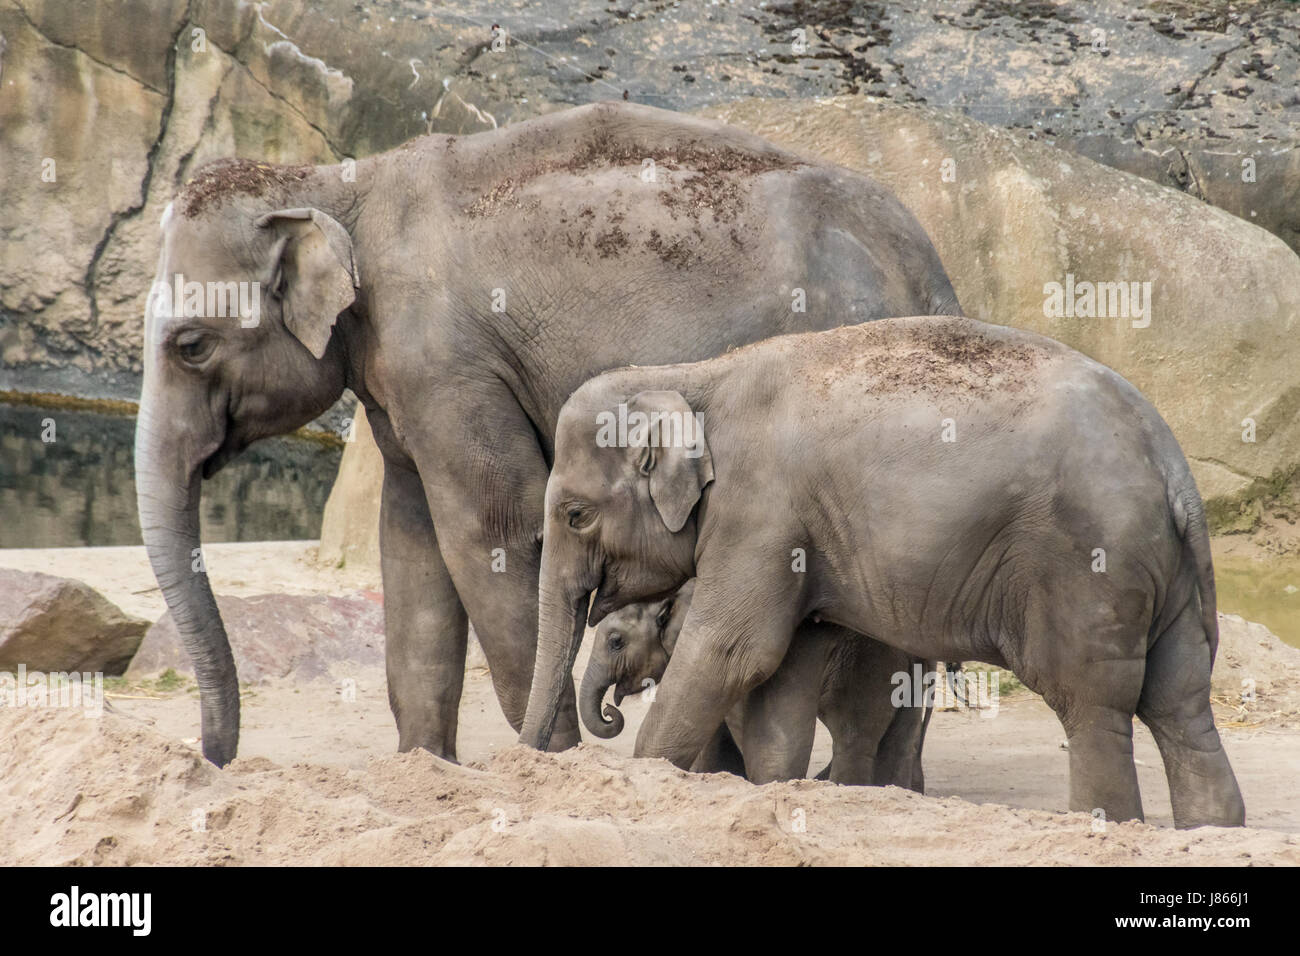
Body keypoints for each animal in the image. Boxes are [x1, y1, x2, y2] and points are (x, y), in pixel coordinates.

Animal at [134, 100, 961, 767]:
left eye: (191, 345)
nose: (212, 756)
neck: (339, 185)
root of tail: (933, 271)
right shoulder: (406, 382)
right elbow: (412, 546)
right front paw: (425, 767)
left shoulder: (449, 365)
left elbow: (490, 533)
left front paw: (547, 759)